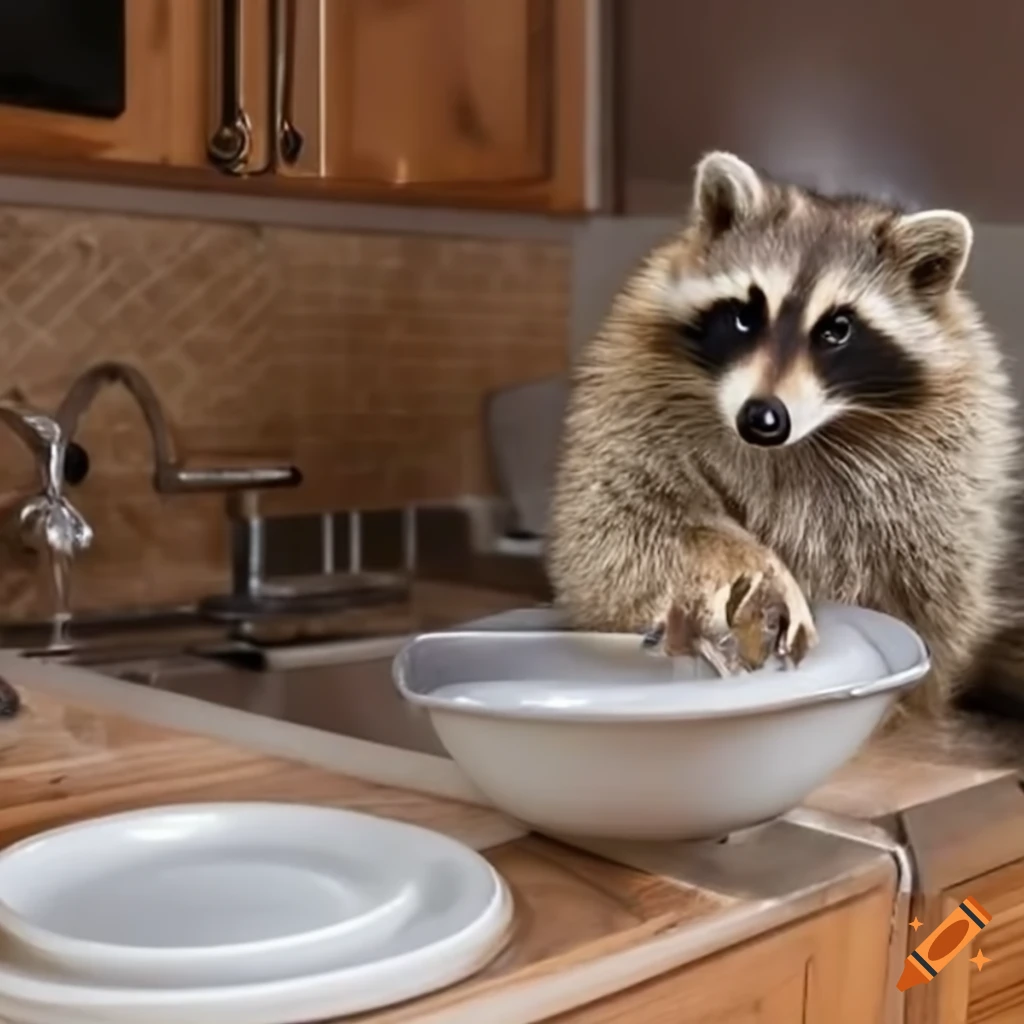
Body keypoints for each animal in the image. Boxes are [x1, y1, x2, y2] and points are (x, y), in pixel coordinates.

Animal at [547, 152, 1023, 714]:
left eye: (837, 329)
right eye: (745, 316)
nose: (762, 418)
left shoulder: (944, 470)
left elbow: (926, 592)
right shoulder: (630, 401)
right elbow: (625, 525)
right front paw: (746, 560)